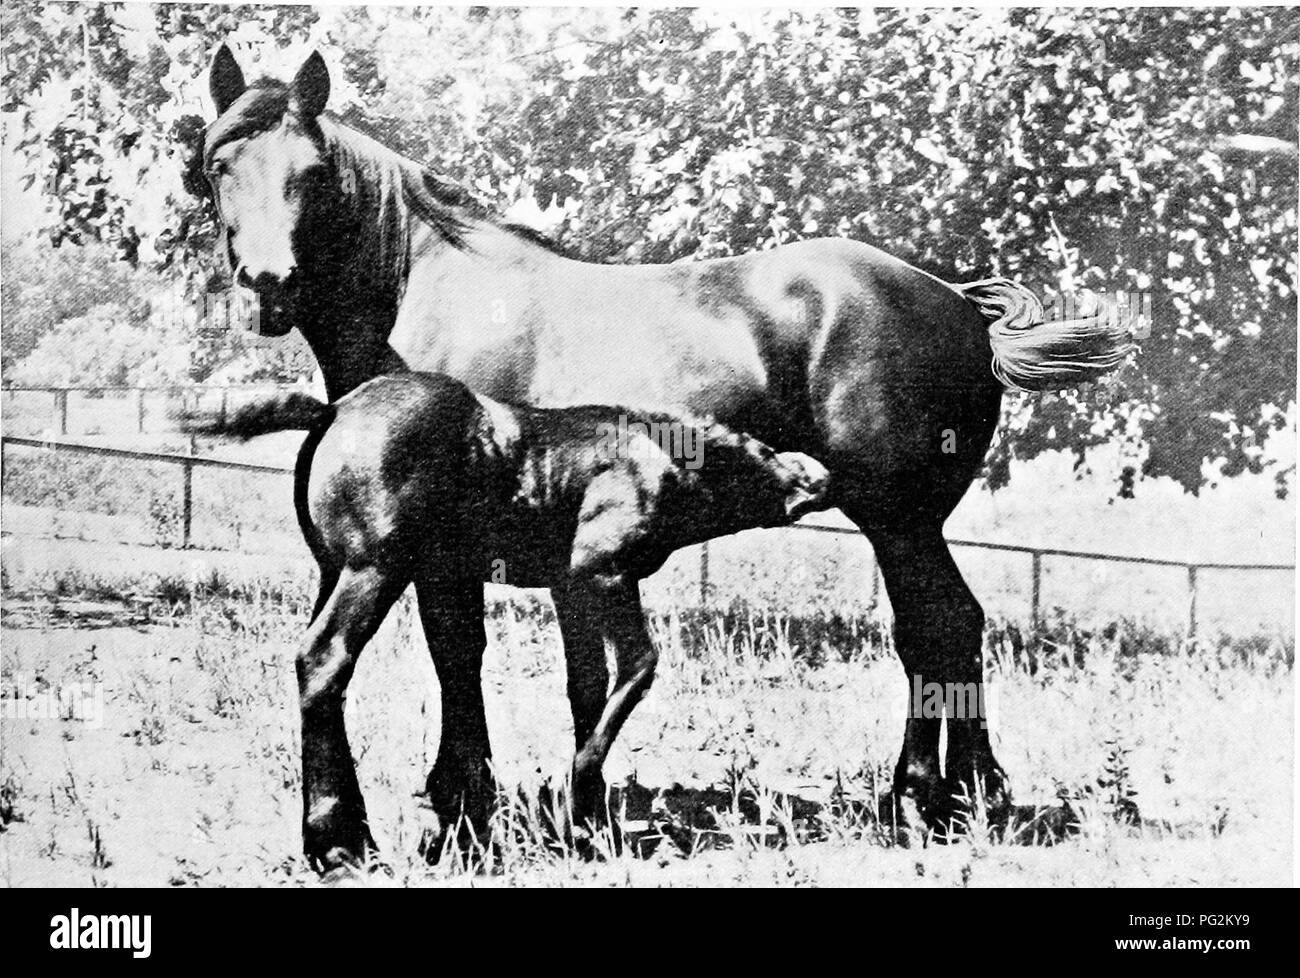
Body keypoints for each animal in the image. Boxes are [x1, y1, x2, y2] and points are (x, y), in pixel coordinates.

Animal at [219, 371, 832, 868]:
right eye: (766, 449)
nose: (819, 482)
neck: (660, 459)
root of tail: (333, 411)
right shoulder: (601, 571)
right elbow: (640, 664)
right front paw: (576, 796)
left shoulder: (569, 587)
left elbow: (587, 685)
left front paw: (591, 825)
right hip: (374, 568)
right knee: (324, 658)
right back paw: (340, 846)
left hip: (337, 569)